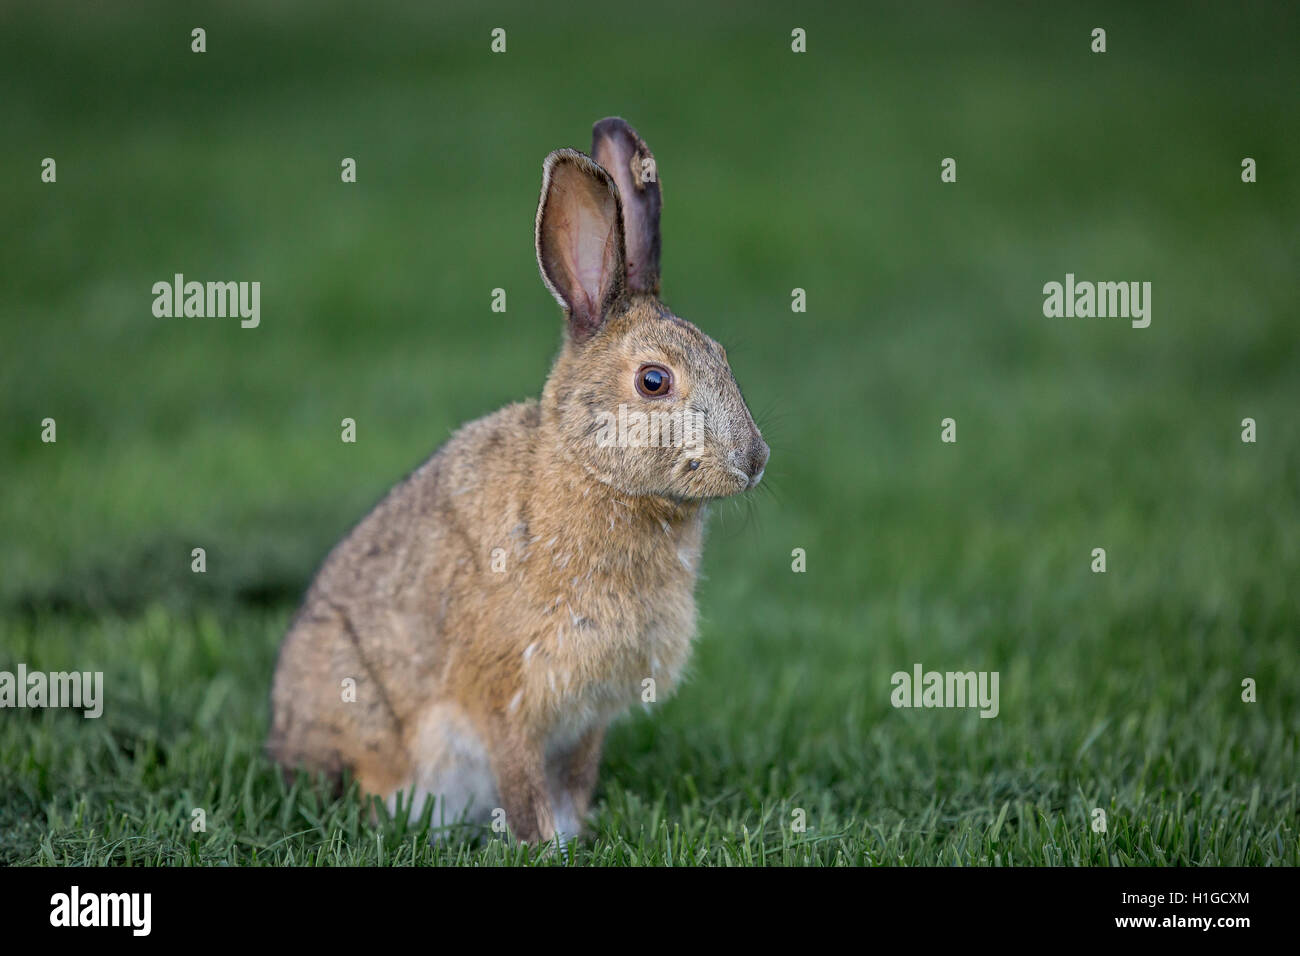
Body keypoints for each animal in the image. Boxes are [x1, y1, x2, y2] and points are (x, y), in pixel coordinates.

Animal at [267, 117, 769, 847]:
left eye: (724, 356)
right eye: (654, 381)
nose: (754, 460)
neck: (595, 475)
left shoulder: (589, 715)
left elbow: (572, 783)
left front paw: (573, 836)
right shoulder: (506, 697)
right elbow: (524, 784)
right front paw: (545, 847)